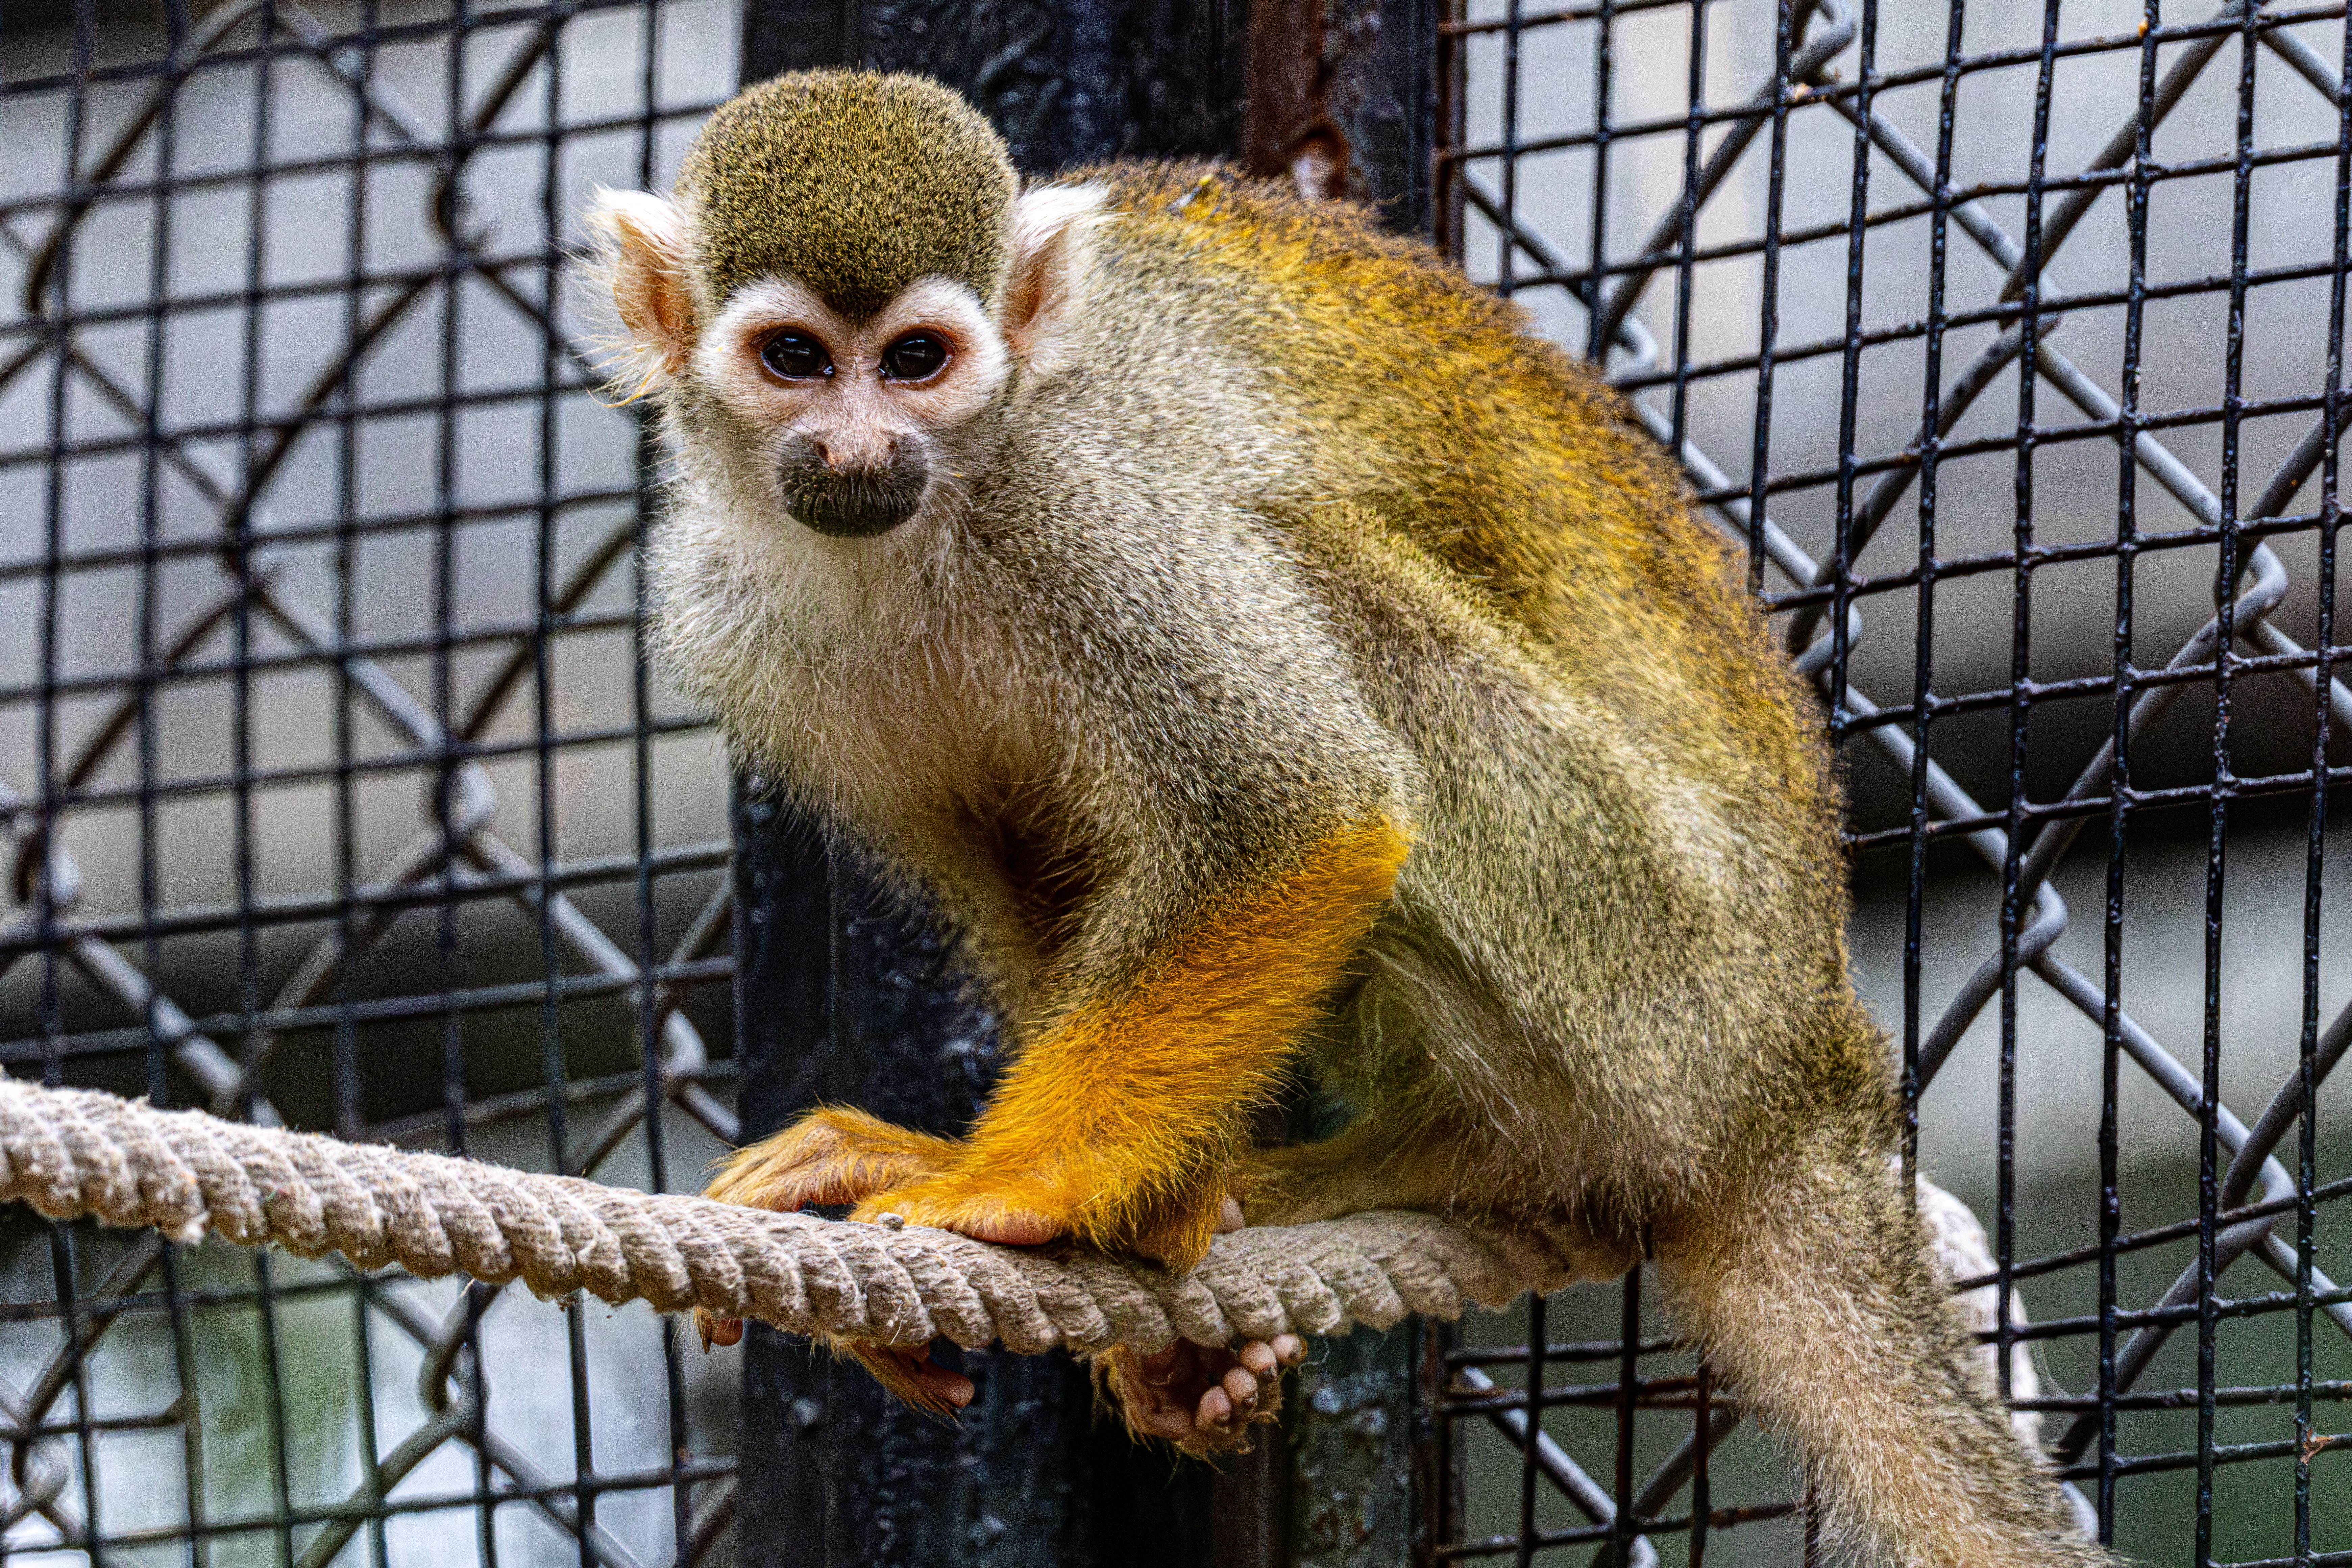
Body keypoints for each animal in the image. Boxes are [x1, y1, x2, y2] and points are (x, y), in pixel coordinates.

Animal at [585, 69, 2114, 1567]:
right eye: (795, 359)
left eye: (916, 361)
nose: (857, 447)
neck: (923, 523)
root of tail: (1809, 1065)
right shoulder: (737, 614)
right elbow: (1031, 855)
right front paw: (1157, 1256)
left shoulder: (1090, 511)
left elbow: (1293, 808)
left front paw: (1010, 1181)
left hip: (1662, 979)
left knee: (1322, 575)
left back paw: (1462, 1154)